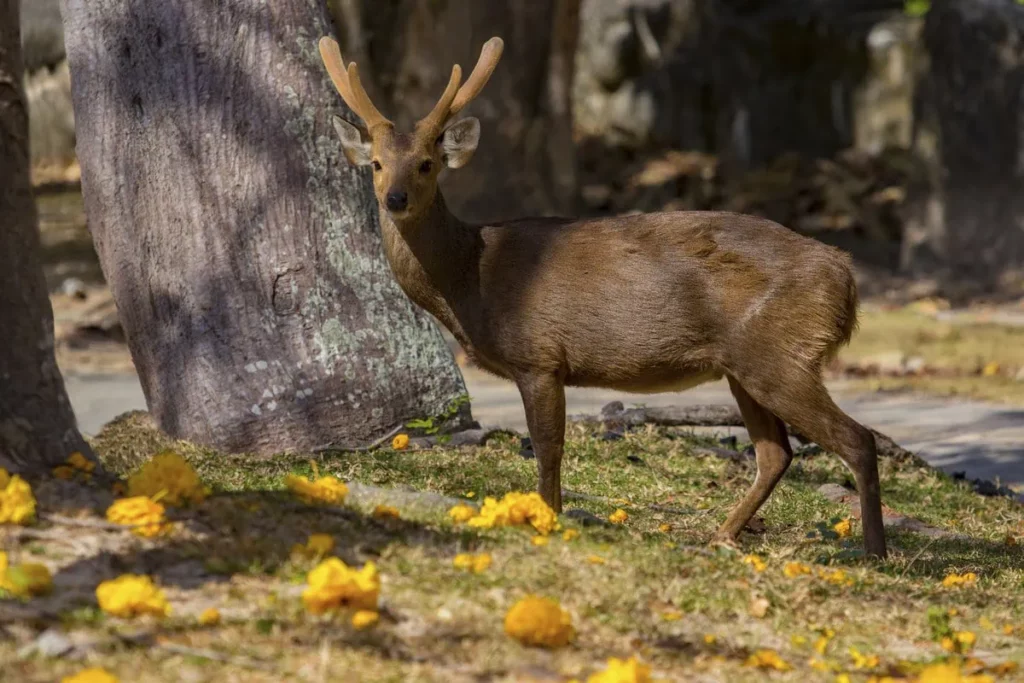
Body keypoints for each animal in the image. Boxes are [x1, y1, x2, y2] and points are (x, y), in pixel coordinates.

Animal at [317, 35, 888, 559]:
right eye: (375, 163)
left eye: (428, 162)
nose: (395, 199)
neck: (472, 279)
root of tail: (845, 275)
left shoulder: (539, 355)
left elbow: (548, 449)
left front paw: (546, 520)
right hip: (743, 363)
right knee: (775, 453)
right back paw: (719, 537)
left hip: (780, 351)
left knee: (858, 439)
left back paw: (873, 552)